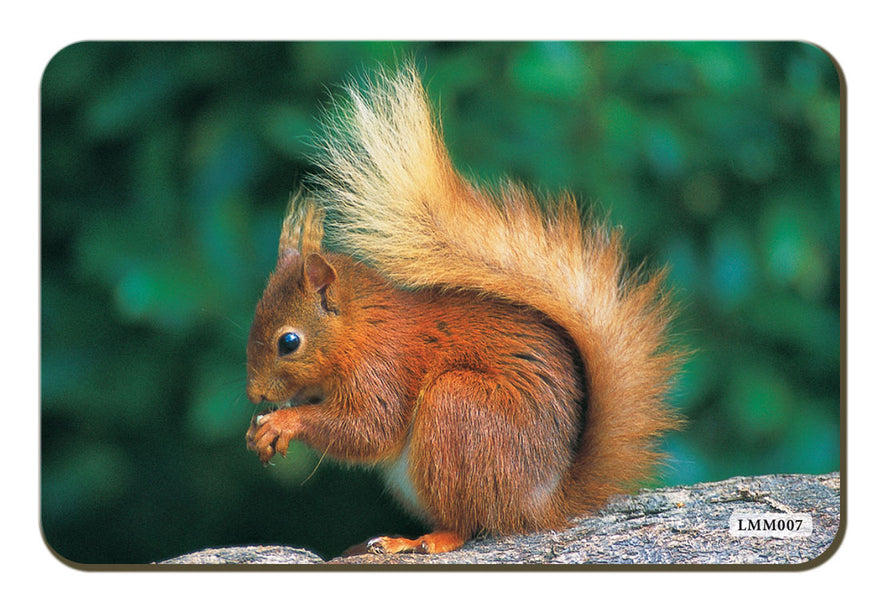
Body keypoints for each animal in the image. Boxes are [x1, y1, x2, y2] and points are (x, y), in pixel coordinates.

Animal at [245, 65, 682, 555]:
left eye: (289, 342)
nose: (255, 394)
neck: (359, 329)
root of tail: (539, 506)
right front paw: (259, 429)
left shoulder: (382, 368)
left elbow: (370, 428)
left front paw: (284, 421)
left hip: (457, 410)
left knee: (468, 524)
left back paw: (419, 541)